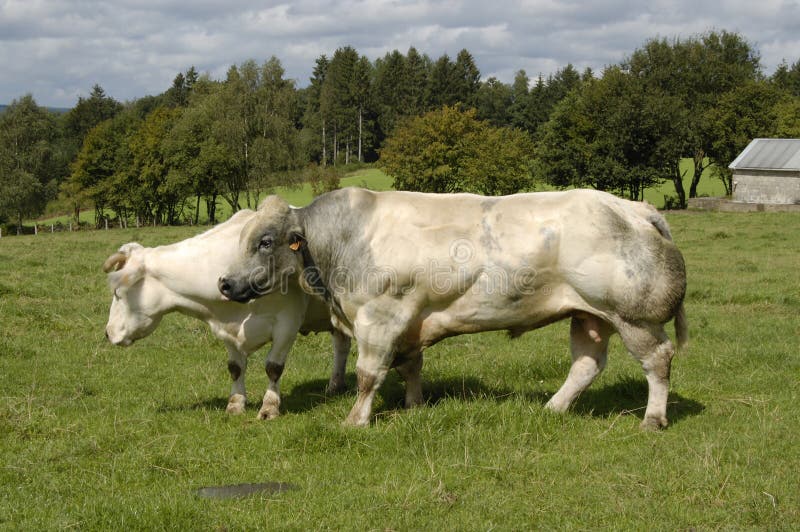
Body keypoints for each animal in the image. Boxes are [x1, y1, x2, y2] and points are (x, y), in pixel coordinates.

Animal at [103, 209, 351, 419]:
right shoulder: (225, 327)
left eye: (117, 292)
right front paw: (235, 404)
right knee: (341, 344)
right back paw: (334, 386)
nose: (107, 333)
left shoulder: (287, 324)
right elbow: (235, 368)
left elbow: (273, 367)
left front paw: (269, 407)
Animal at [218, 188, 688, 430]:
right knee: (587, 364)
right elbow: (410, 367)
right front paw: (413, 405)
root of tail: (633, 207)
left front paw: (356, 419)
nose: (225, 283)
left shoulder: (379, 316)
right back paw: (553, 408)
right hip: (589, 316)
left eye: (265, 241)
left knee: (658, 360)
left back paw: (653, 418)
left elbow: (369, 374)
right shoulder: (409, 322)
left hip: (635, 317)